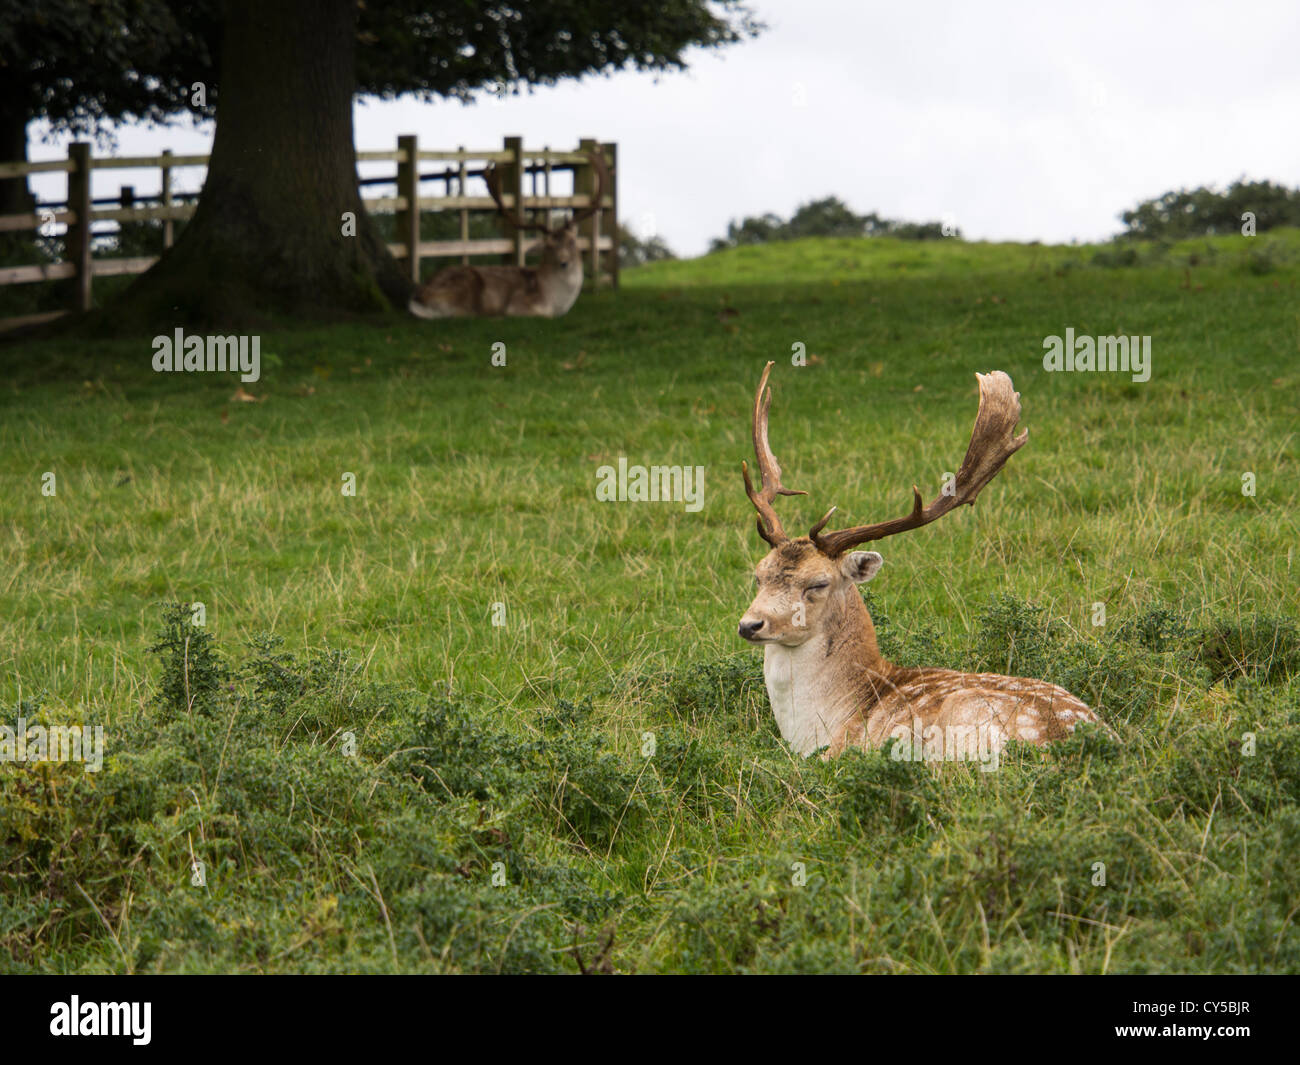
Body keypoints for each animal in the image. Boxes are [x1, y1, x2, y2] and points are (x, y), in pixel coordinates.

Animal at [408, 151, 609, 319]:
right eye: (548, 245)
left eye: (572, 241)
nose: (564, 262)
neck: (557, 302)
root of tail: (419, 295)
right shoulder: (519, 303)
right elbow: (538, 314)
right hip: (463, 288)